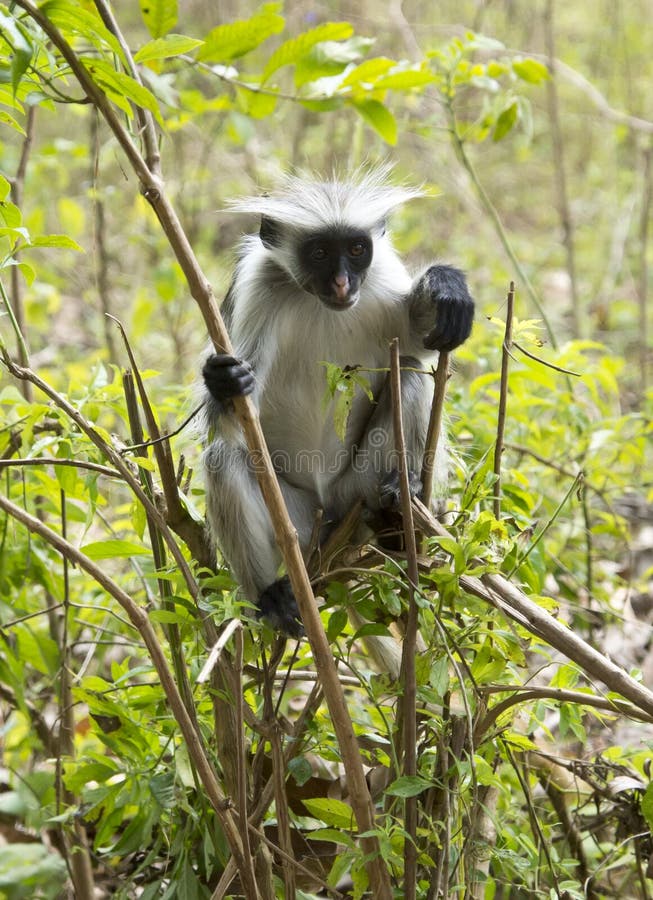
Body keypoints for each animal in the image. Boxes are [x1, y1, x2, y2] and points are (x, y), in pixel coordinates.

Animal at [201, 168, 474, 638]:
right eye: (320, 252)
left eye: (357, 249)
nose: (343, 282)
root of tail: (328, 519)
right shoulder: (259, 286)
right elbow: (229, 422)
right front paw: (223, 383)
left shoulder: (380, 272)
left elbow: (417, 344)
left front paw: (448, 289)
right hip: (296, 519)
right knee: (223, 459)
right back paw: (271, 594)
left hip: (358, 487)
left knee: (410, 375)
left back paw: (401, 507)